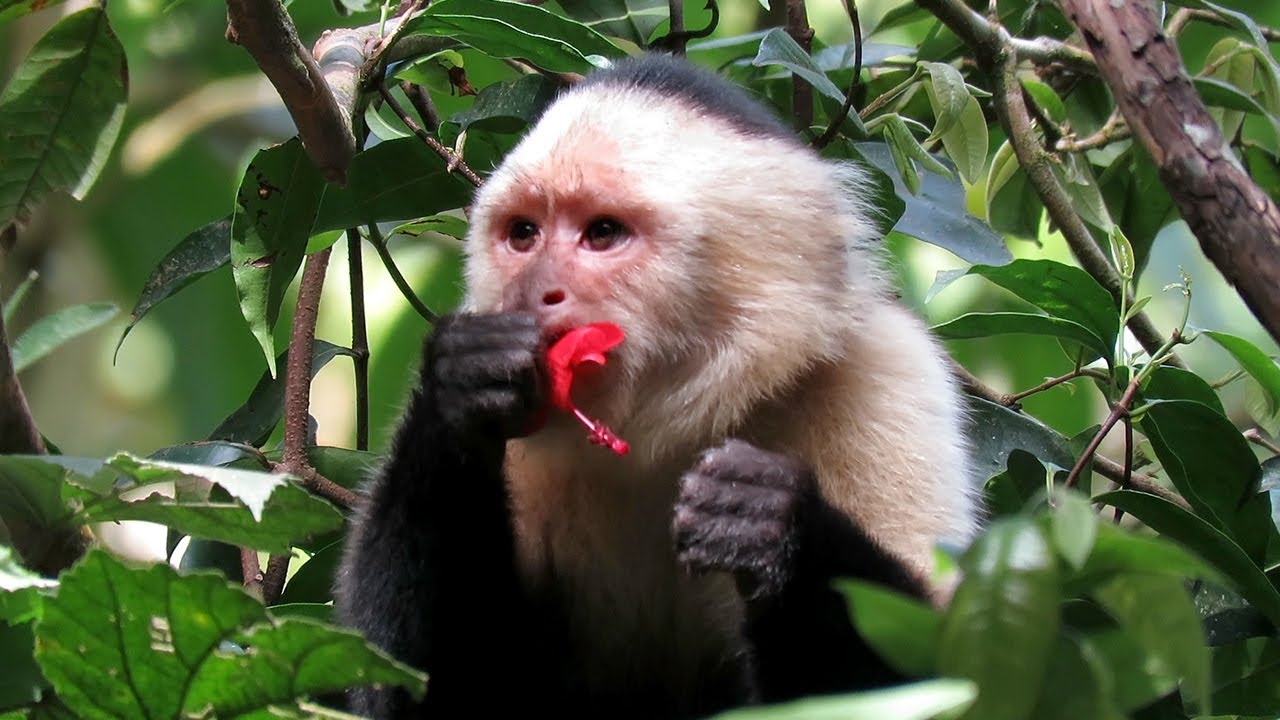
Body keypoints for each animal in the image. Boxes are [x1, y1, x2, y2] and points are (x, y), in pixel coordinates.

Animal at [335, 53, 980, 719]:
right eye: (523, 234)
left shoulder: (887, 374)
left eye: (602, 233)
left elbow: (940, 679)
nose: (535, 291)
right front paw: (463, 389)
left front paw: (771, 525)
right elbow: (414, 697)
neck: (662, 435)